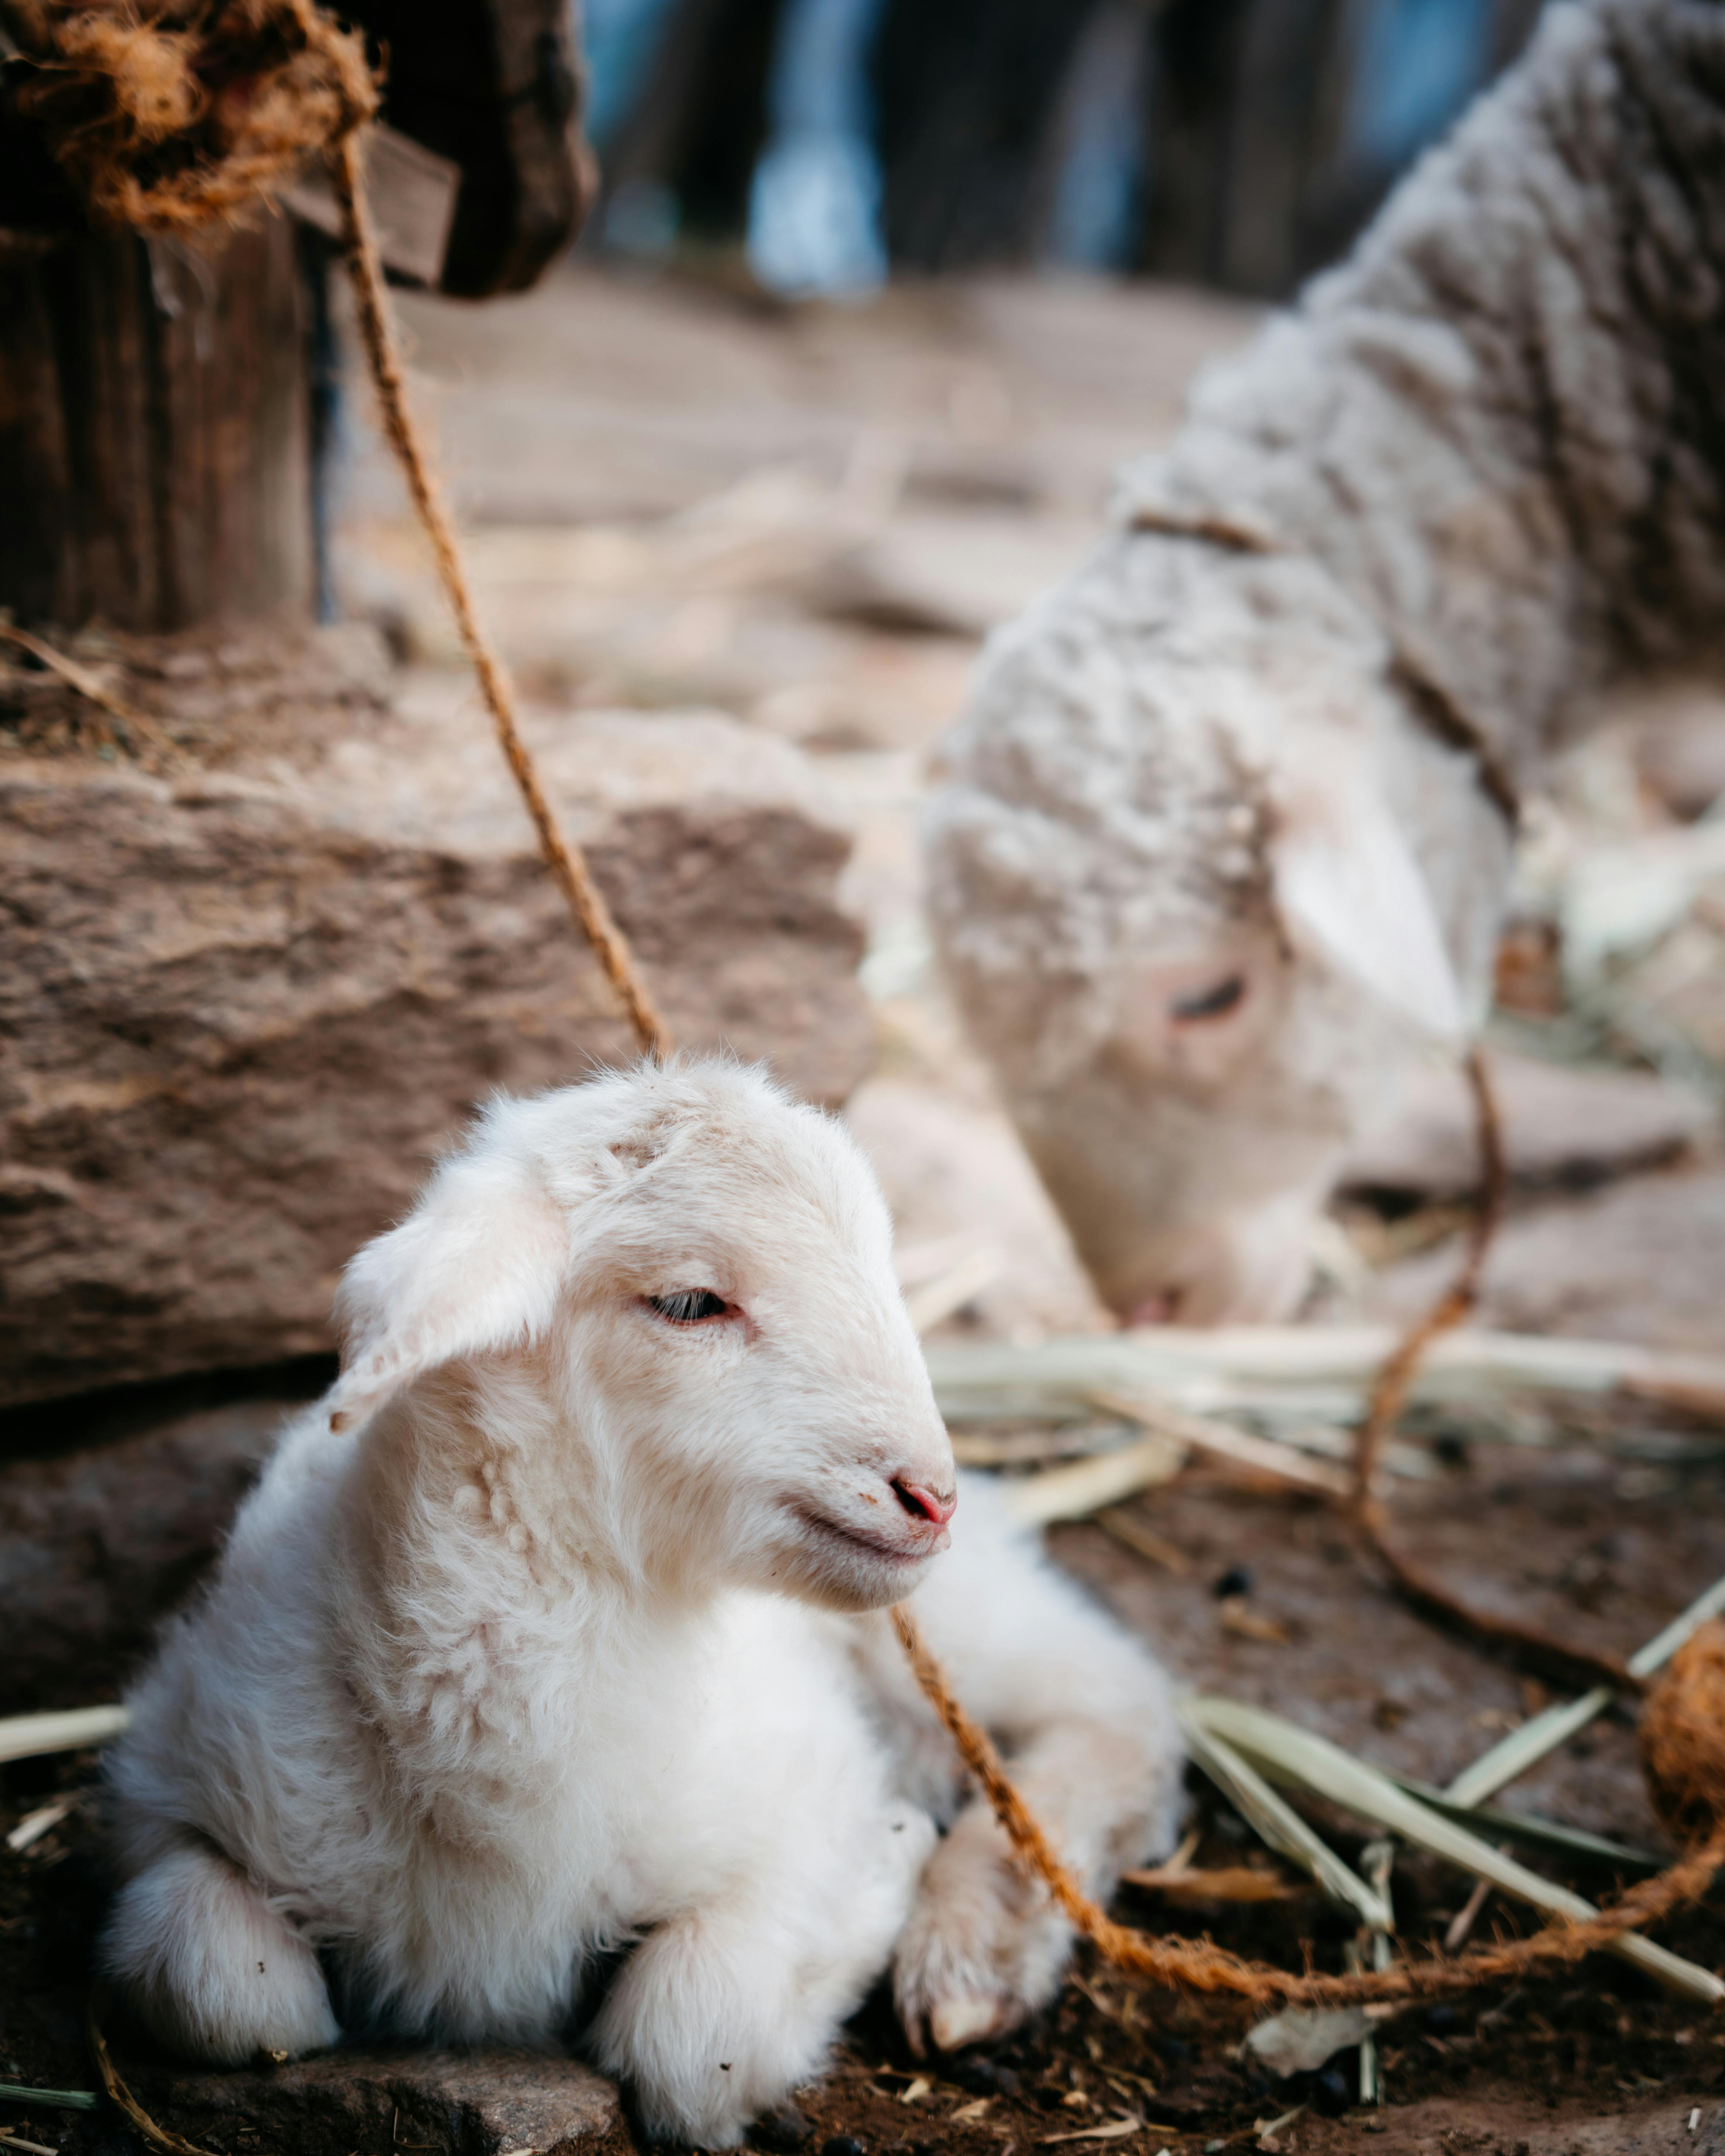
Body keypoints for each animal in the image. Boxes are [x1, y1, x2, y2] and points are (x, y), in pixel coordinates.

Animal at [100, 1058, 1181, 2145]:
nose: (929, 1496)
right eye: (690, 1301)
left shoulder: (808, 1796)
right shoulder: (171, 1786)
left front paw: (899, 1856)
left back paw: (974, 1947)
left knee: (1115, 1698)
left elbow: (687, 2044)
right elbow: (226, 1993)